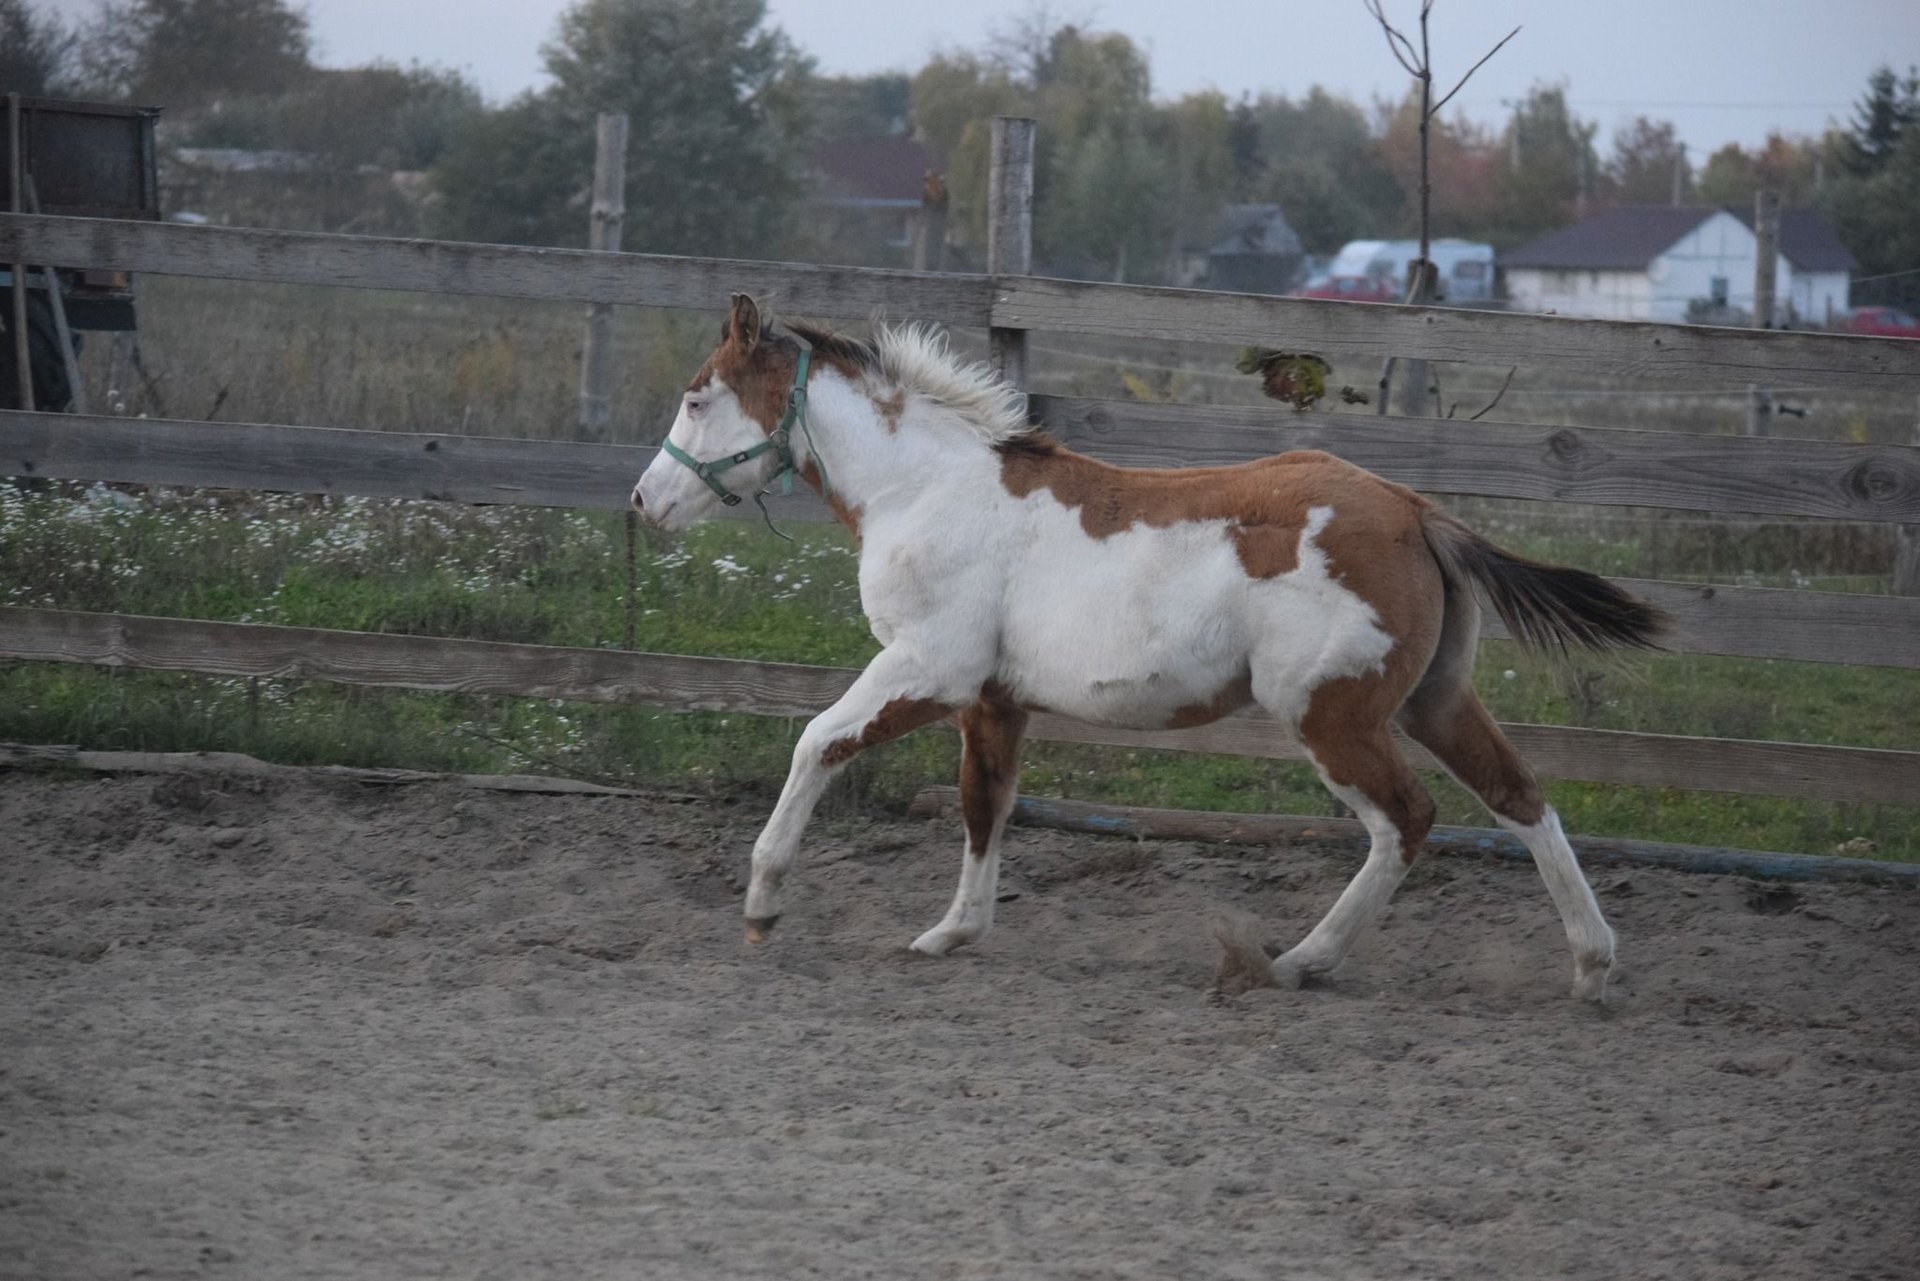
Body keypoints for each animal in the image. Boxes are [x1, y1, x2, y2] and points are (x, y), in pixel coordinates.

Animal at [632, 295, 1668, 1002]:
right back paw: (1591, 962)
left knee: (1406, 820)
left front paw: (763, 904)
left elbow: (816, 743)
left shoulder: (928, 669)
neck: (922, 489)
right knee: (1519, 796)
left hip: (1329, 713)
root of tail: (1418, 510)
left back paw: (1298, 959)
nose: (645, 501)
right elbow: (983, 806)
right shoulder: (995, 698)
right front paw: (953, 932)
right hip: (1431, 699)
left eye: (697, 398)